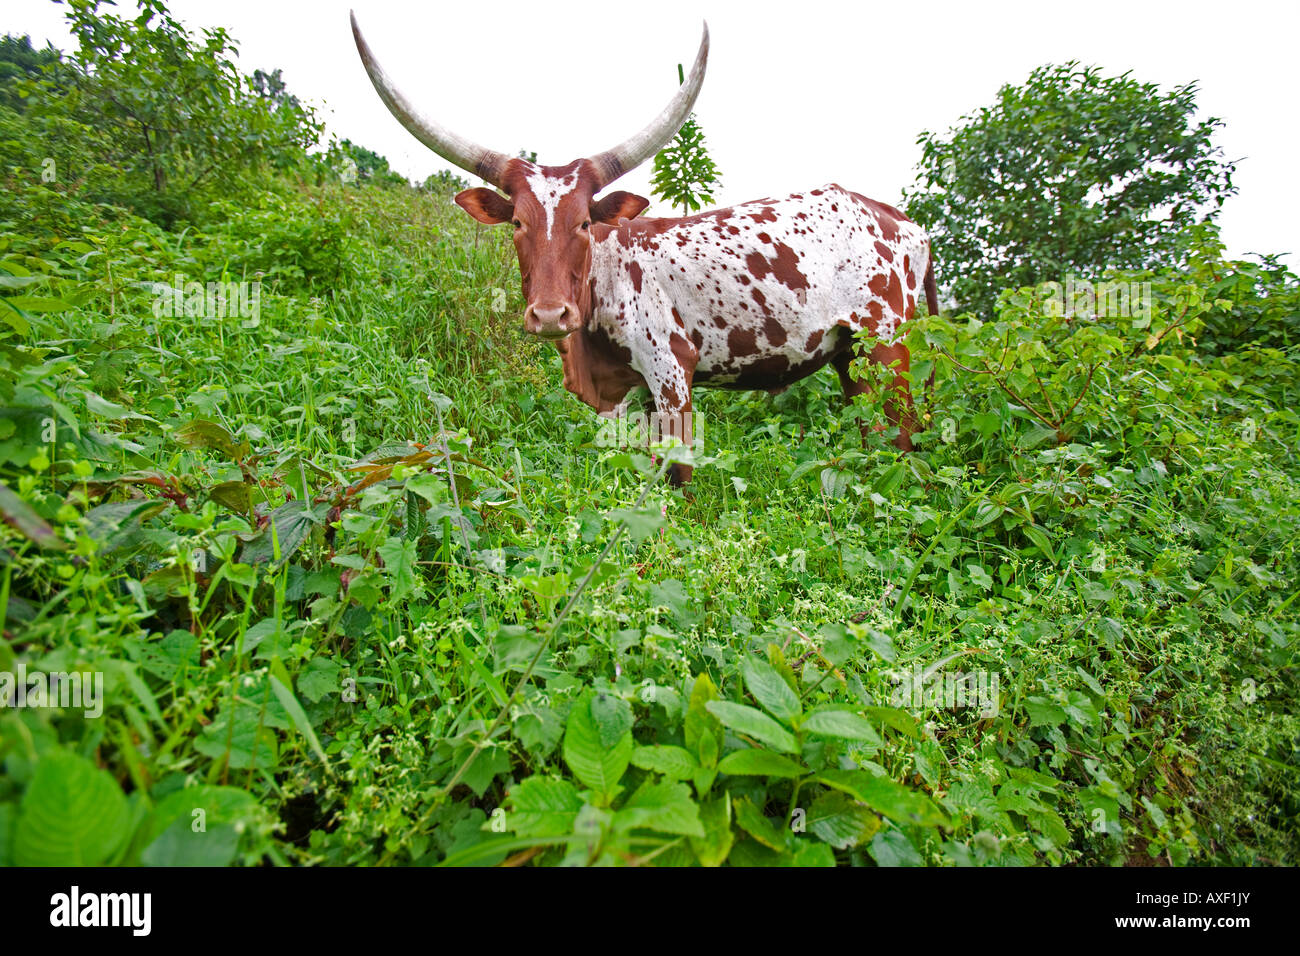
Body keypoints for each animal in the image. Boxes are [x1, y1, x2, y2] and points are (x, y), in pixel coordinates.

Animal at [351, 14, 938, 485]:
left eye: (584, 222)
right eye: (517, 222)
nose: (549, 315)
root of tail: (898, 217)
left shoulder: (672, 371)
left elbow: (676, 473)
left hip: (887, 347)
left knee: (902, 434)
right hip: (850, 357)